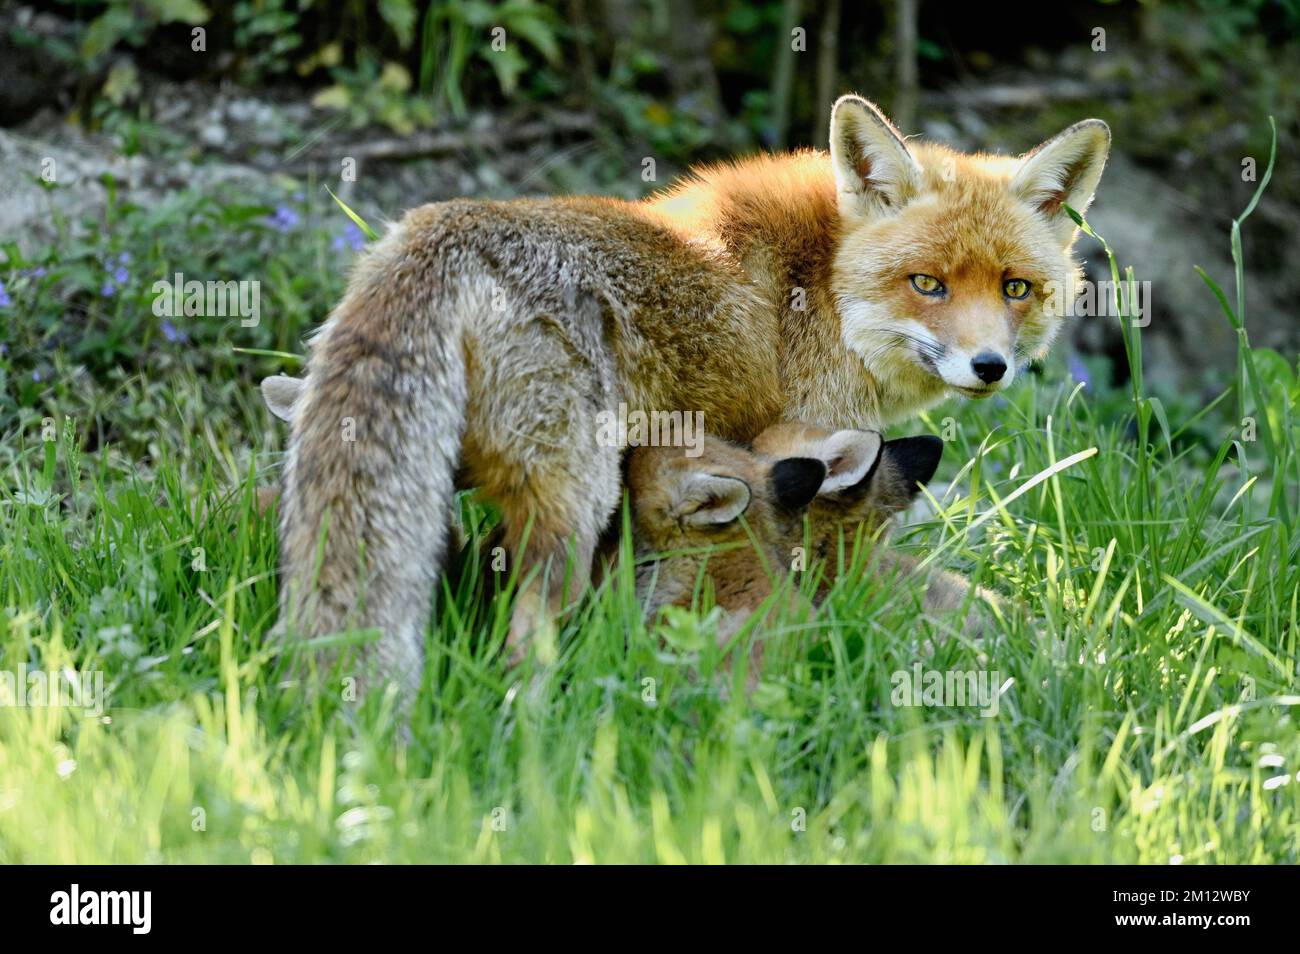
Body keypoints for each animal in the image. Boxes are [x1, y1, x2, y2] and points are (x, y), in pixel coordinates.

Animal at [274, 94, 1109, 690]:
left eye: (1016, 288)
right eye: (927, 283)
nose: (988, 366)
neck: (826, 285)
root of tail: (440, 225)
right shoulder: (821, 458)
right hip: (573, 504)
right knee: (527, 634)